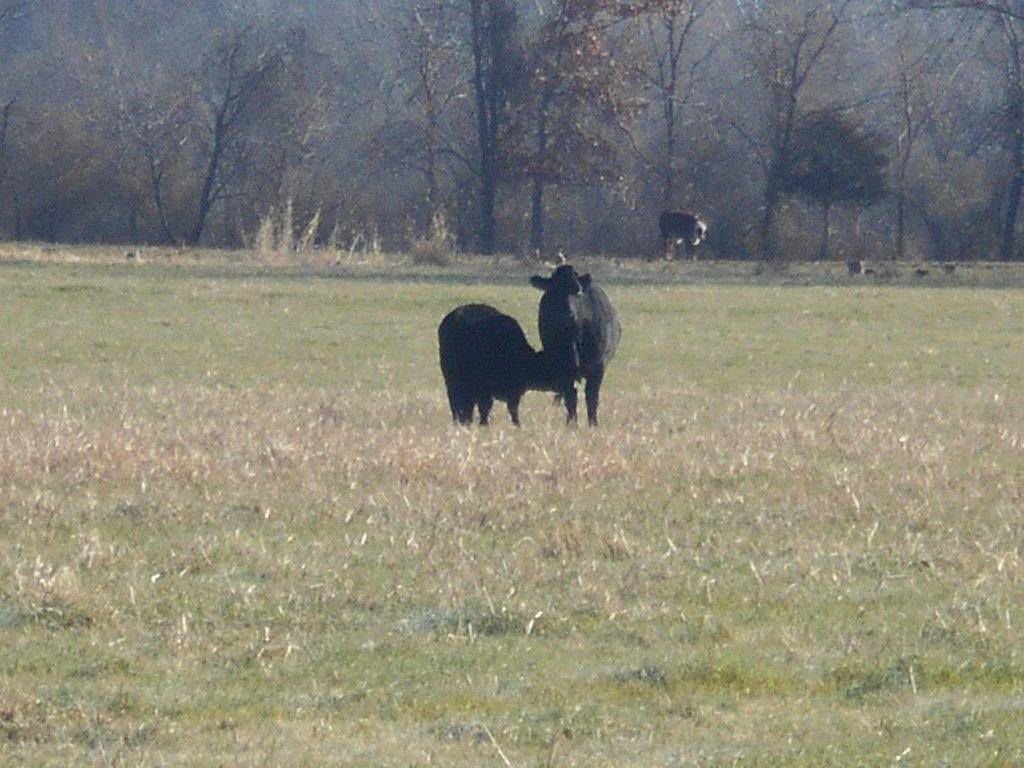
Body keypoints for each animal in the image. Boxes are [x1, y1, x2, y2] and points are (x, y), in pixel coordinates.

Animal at [530, 262, 621, 426]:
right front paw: (572, 424)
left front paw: (593, 424)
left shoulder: (598, 366)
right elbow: (570, 395)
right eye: (553, 291)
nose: (567, 314)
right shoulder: (563, 368)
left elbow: (592, 396)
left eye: (577, 290)